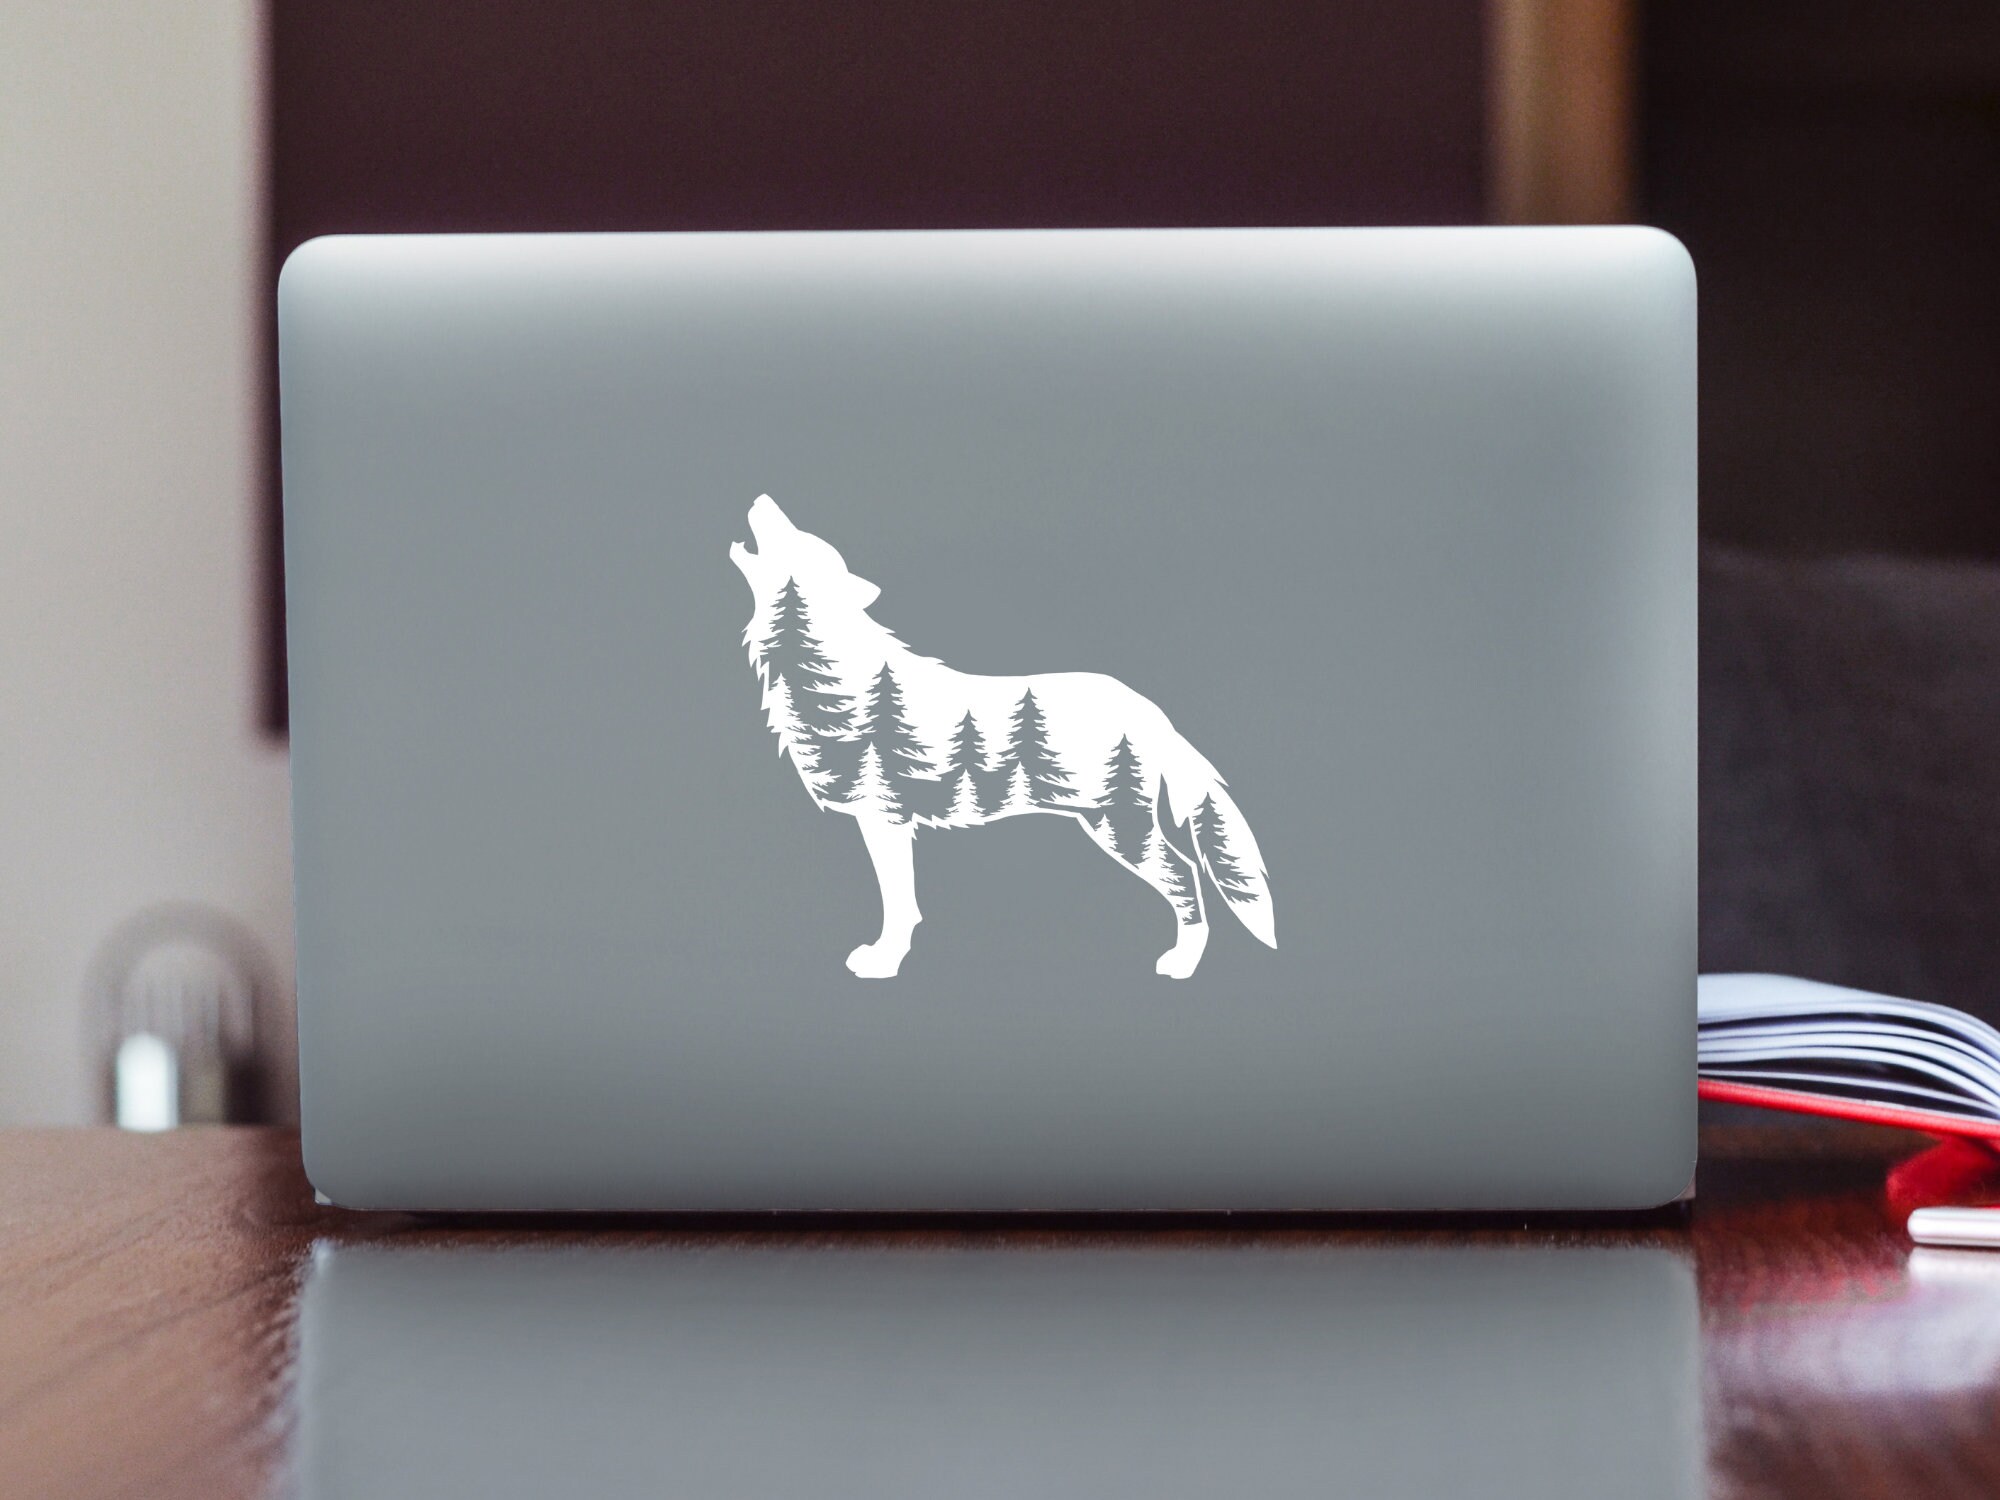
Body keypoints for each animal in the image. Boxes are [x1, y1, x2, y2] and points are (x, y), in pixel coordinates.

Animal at [730, 494, 1274, 978]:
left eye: (794, 534)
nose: (760, 497)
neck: (830, 673)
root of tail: (1150, 709)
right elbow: (904, 902)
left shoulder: (886, 820)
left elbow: (898, 903)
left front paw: (883, 963)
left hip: (1118, 827)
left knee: (1186, 876)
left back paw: (1182, 965)